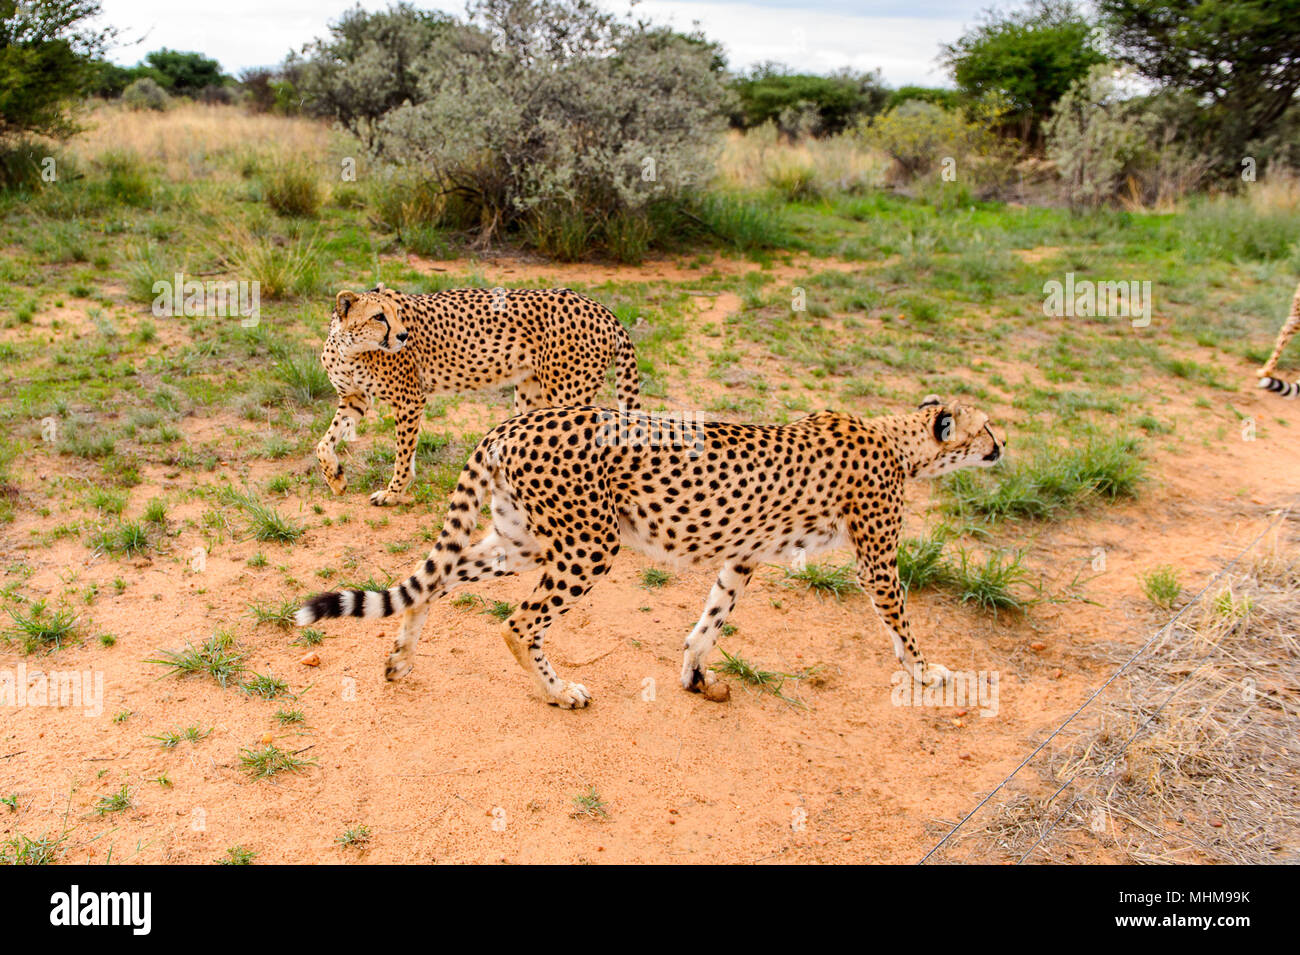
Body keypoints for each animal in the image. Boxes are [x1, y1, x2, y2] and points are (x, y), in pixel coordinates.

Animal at [296, 395, 1006, 709]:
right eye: (987, 428)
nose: (1003, 446)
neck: (900, 442)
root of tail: (512, 421)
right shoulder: (877, 561)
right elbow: (903, 625)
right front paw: (930, 675)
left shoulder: (741, 557)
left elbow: (710, 620)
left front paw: (695, 677)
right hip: (589, 545)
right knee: (517, 624)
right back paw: (560, 692)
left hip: (520, 540)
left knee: (437, 579)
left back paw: (400, 658)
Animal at [316, 284, 640, 505]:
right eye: (378, 317)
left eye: (396, 314)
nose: (403, 335)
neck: (350, 349)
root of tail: (601, 308)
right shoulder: (354, 399)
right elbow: (323, 444)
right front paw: (336, 479)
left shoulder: (409, 400)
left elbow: (403, 454)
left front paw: (393, 493)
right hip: (531, 395)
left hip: (566, 395)